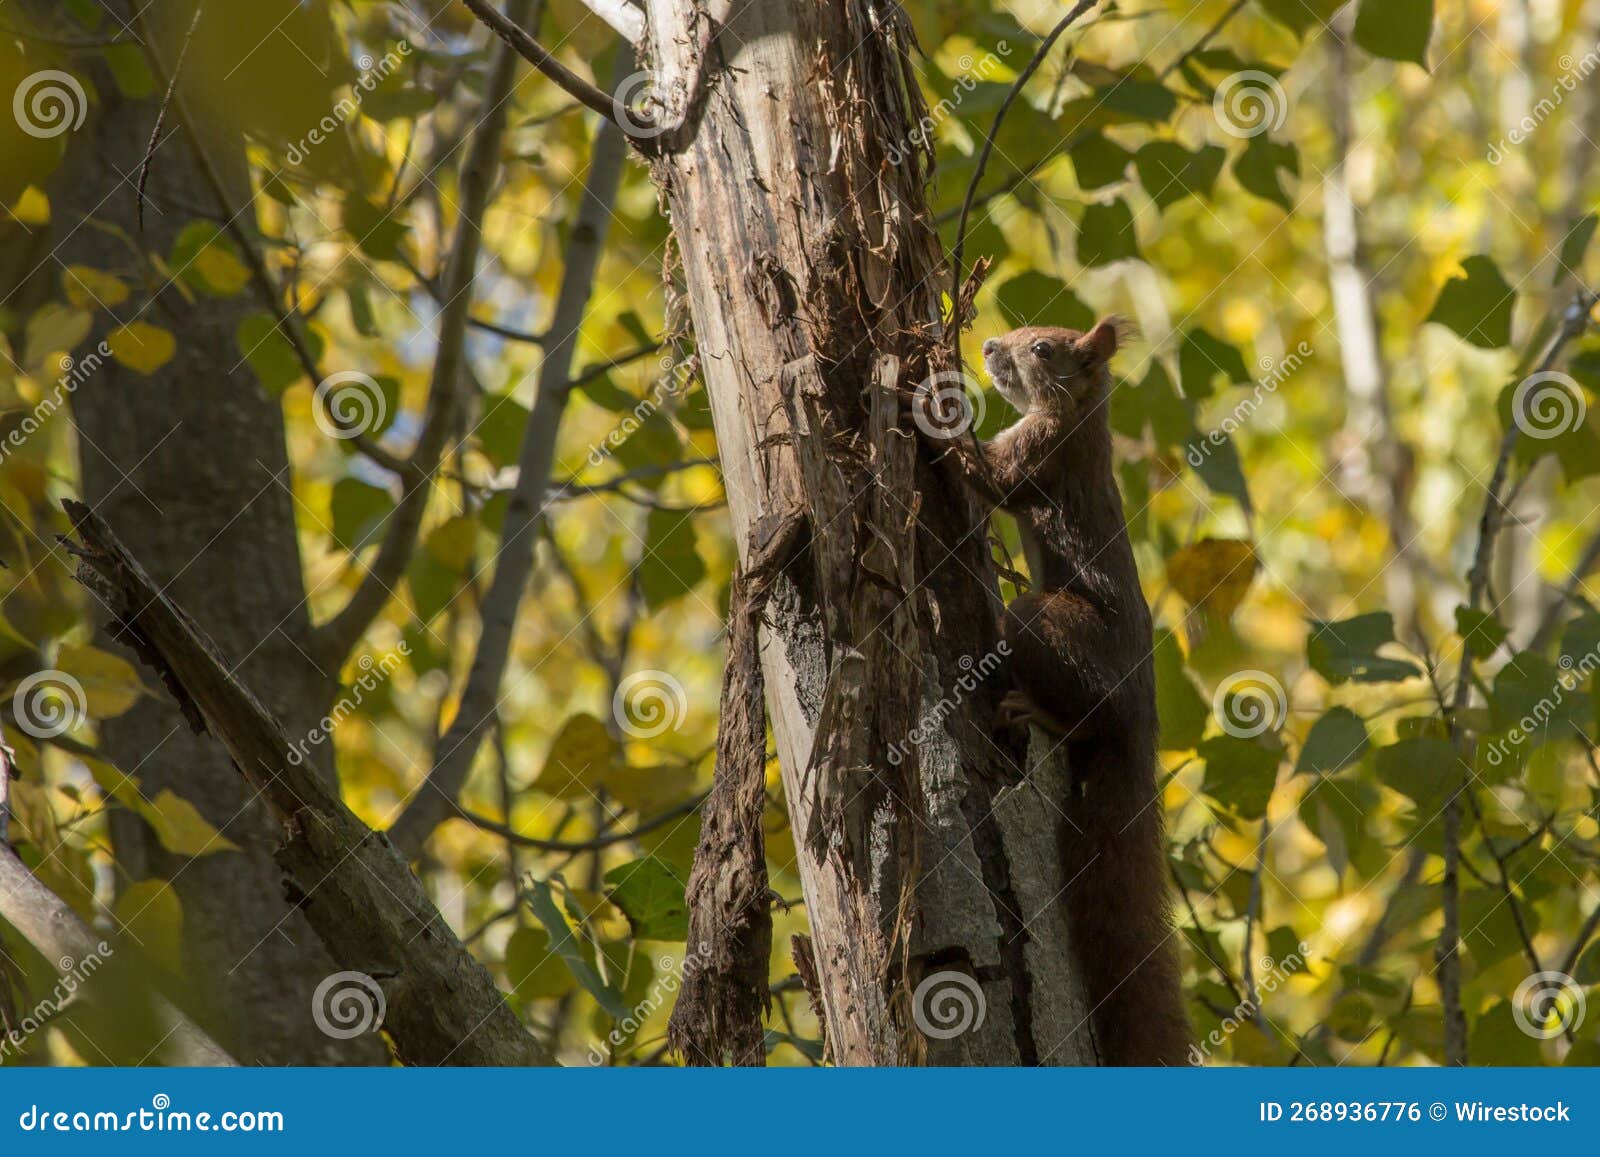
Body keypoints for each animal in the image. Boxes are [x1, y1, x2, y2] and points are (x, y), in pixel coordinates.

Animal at [917, 319, 1191, 1066]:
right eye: (1018, 332)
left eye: (1044, 349)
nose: (987, 348)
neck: (1081, 418)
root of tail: (1139, 731)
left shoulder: (1039, 453)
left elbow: (987, 475)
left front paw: (924, 390)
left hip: (1042, 624)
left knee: (1079, 717)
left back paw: (1034, 708)